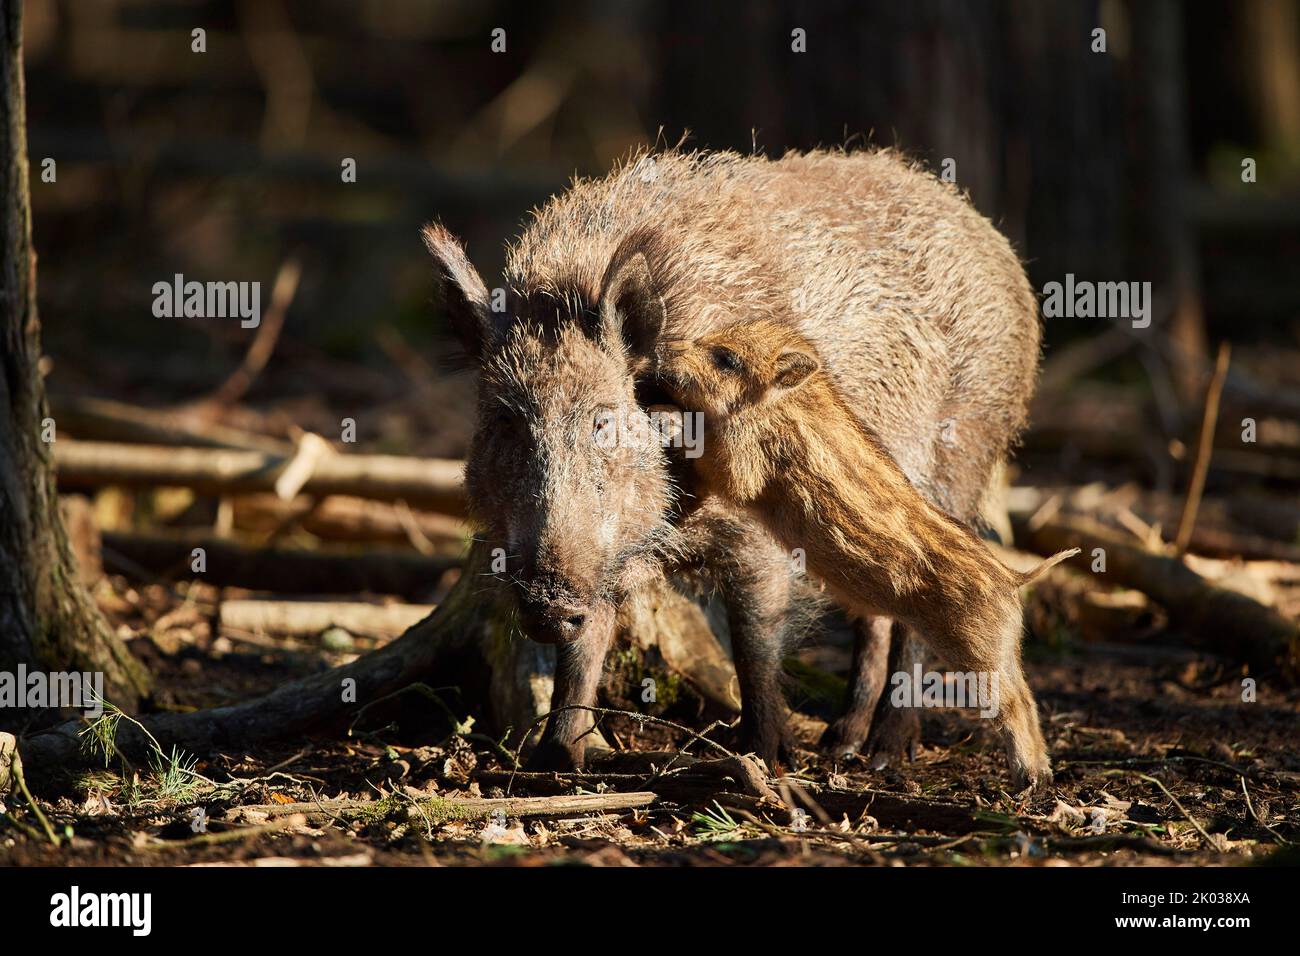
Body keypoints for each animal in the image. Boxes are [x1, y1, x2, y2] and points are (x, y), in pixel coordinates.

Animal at [422, 147, 1043, 771]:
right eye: (504, 420)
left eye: (603, 419)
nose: (548, 605)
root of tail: (991, 239)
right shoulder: (604, 557)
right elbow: (585, 647)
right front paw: (554, 759)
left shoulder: (758, 532)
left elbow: (755, 641)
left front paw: (763, 758)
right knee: (877, 607)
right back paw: (841, 744)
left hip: (964, 455)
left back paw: (884, 754)